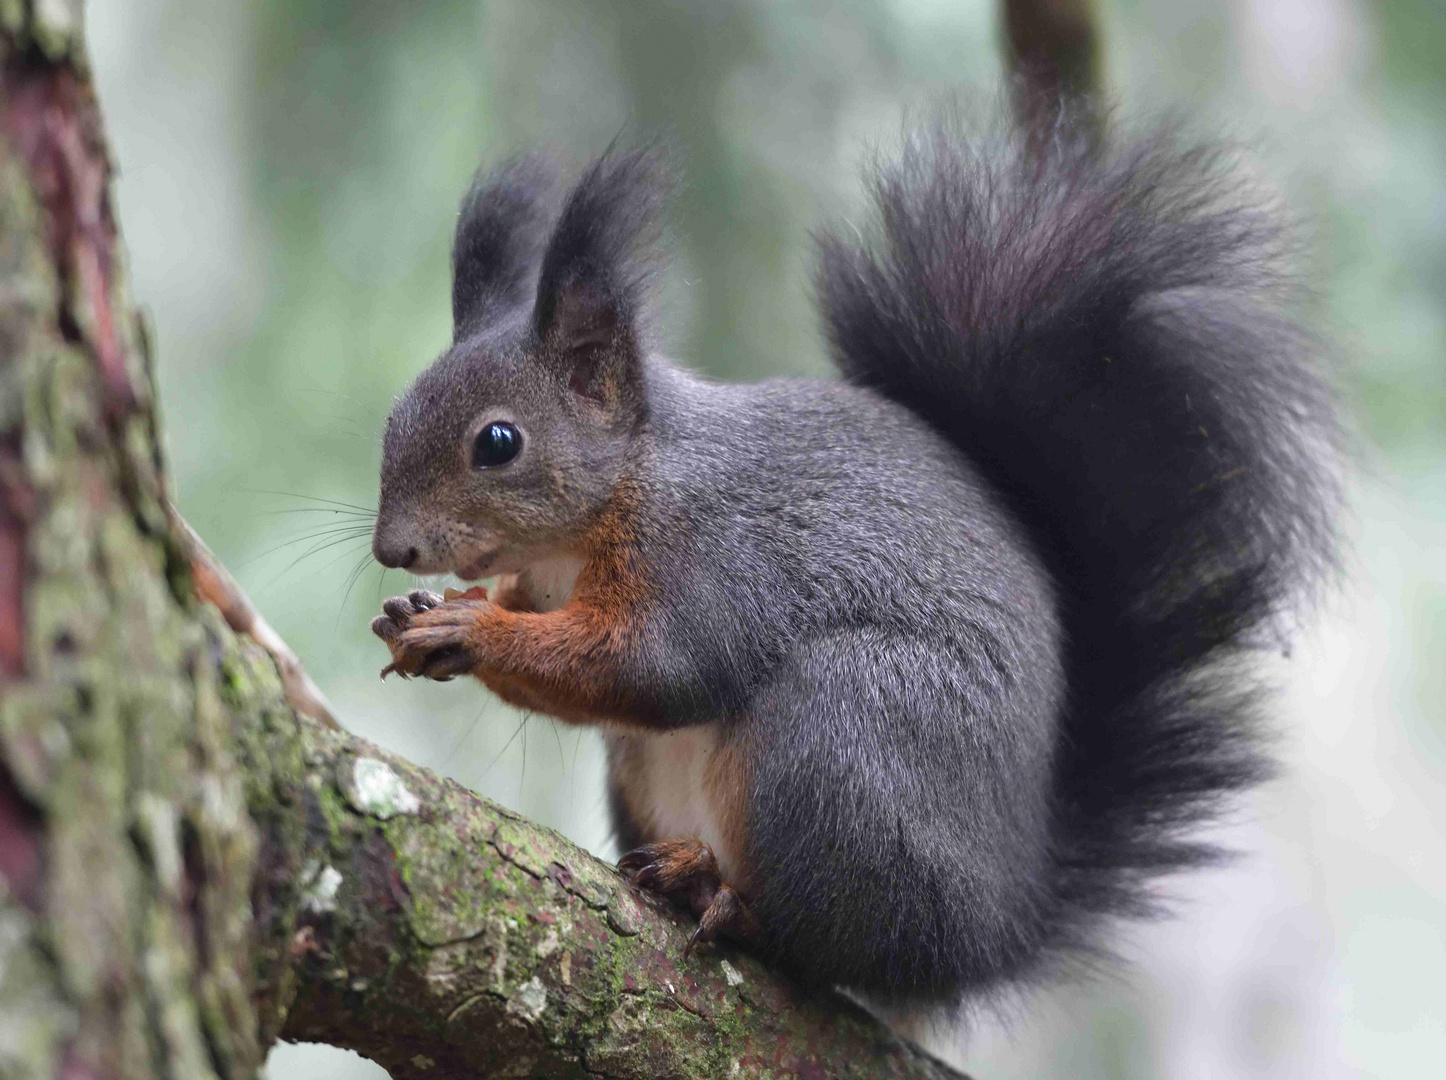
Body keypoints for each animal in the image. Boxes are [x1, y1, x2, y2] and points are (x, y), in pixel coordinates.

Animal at [367, 107, 1336, 1006]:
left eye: (499, 442)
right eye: (394, 416)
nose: (392, 549)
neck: (600, 510)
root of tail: (998, 926)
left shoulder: (708, 558)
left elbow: (649, 667)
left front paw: (468, 630)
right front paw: (428, 614)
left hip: (843, 737)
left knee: (828, 941)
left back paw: (724, 897)